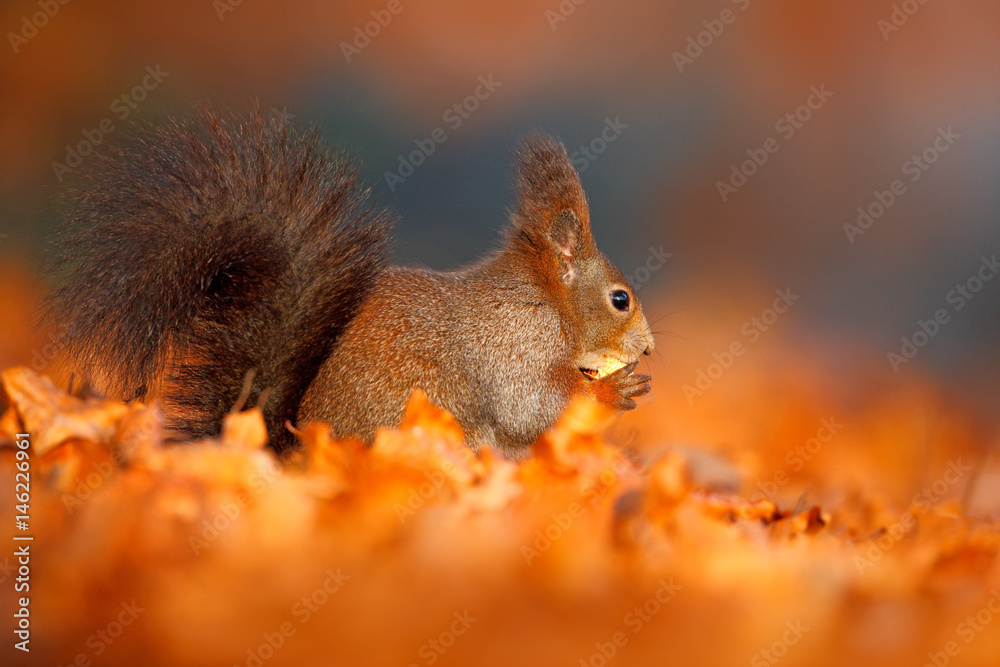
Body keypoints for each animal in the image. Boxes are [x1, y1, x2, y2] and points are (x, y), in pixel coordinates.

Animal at [44, 104, 654, 456]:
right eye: (620, 299)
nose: (648, 348)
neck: (546, 300)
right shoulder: (514, 341)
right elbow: (530, 403)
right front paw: (613, 391)